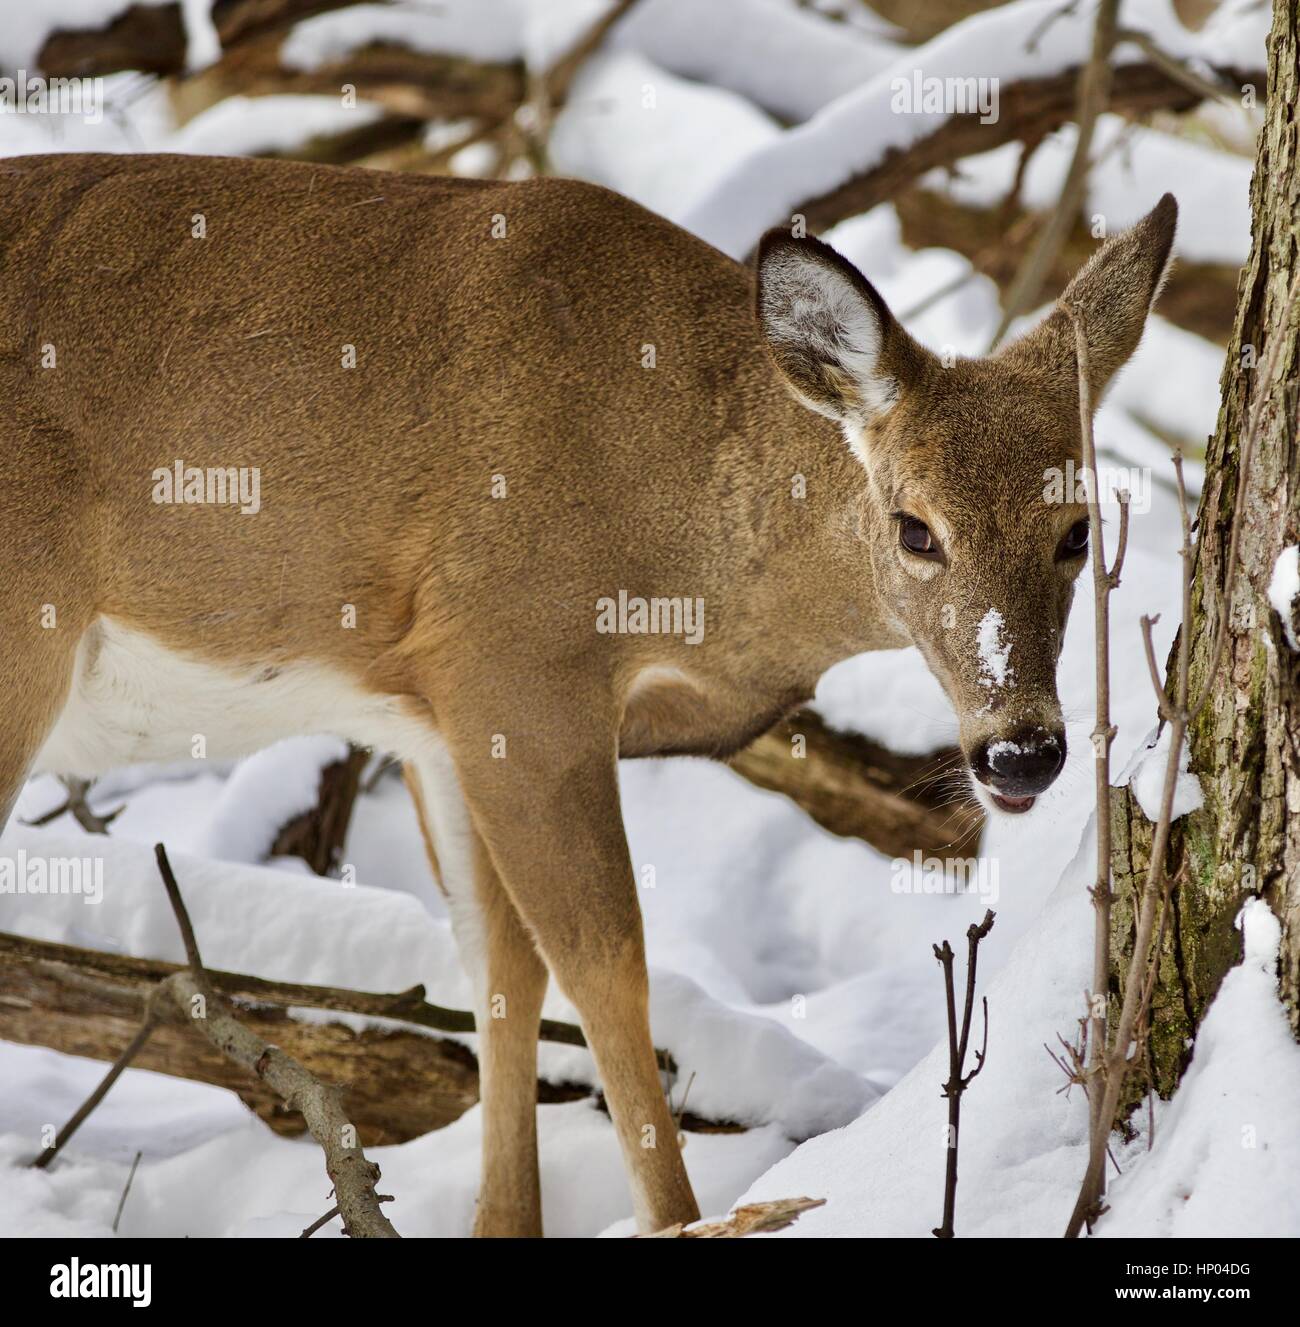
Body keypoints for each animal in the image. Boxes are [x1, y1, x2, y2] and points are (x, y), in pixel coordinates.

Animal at [0, 152, 1176, 1236]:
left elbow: (501, 967)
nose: (1022, 749)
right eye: (914, 528)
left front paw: (502, 1221)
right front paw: (683, 1217)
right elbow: (608, 962)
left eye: (1077, 528)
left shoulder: (436, 714)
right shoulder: (517, 659)